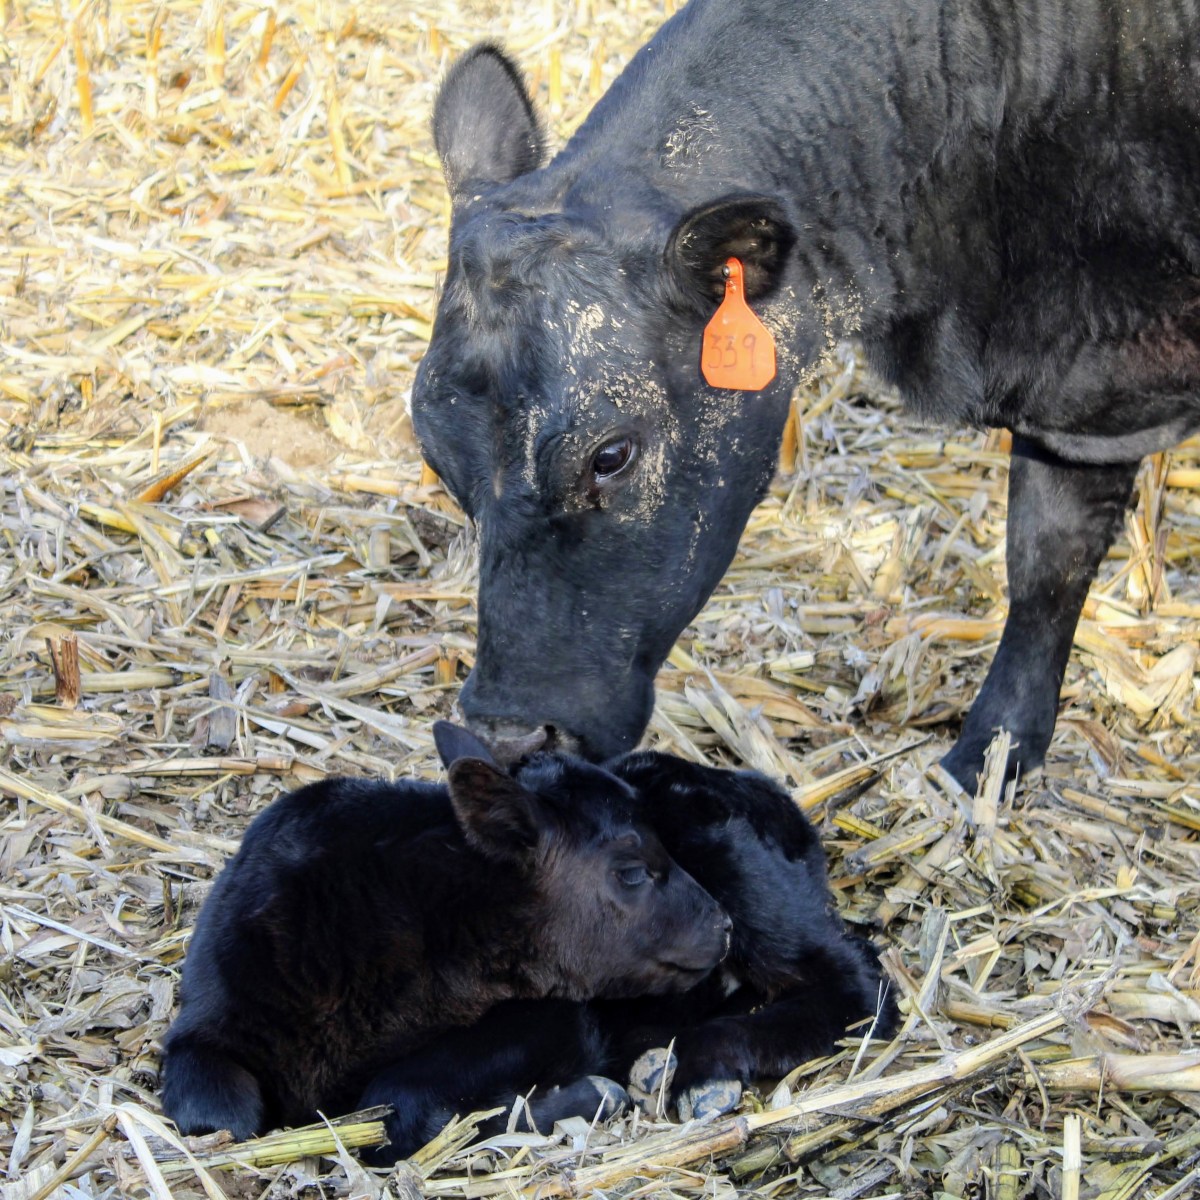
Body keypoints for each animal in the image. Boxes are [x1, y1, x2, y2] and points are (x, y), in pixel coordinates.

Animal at [159, 723, 731, 1153]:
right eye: (631, 872)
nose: (722, 924)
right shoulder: (204, 1028)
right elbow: (220, 1120)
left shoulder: (557, 1015)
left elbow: (402, 1104)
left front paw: (592, 1095)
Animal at [411, 0, 1200, 791]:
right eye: (437, 459)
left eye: (610, 455)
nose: (511, 736)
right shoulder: (1073, 401)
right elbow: (1043, 564)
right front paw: (994, 751)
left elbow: (1049, 566)